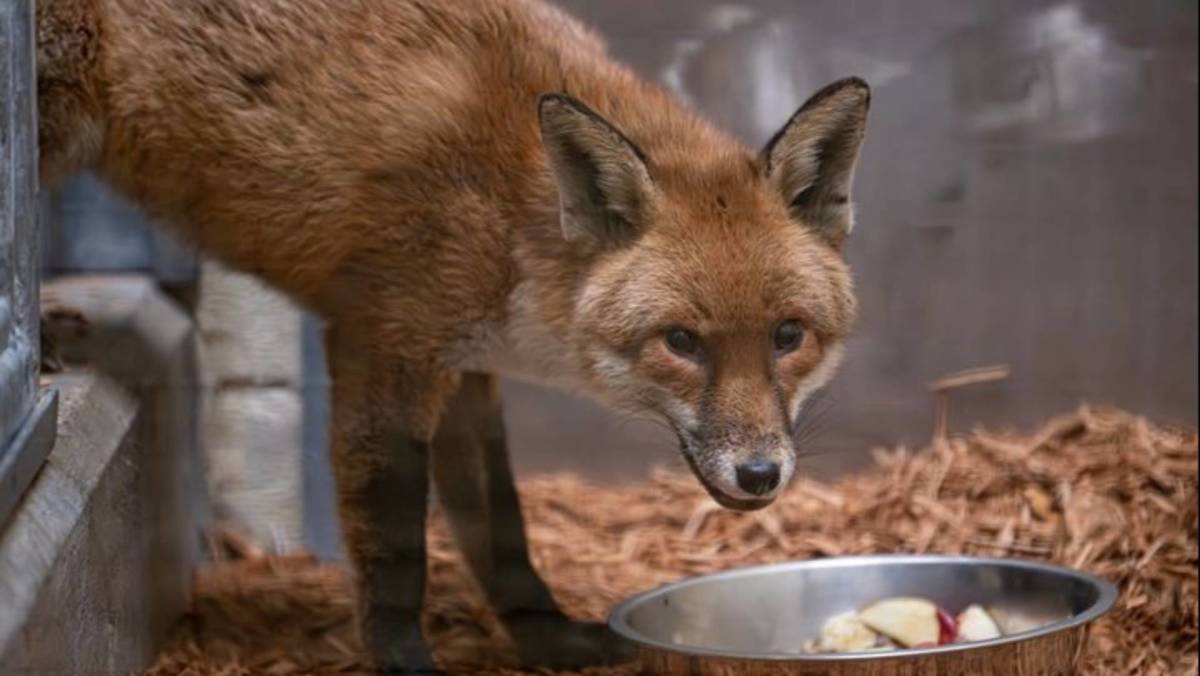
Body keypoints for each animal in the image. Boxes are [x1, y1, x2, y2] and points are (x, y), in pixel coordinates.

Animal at [36, 0, 869, 672]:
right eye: (682, 342)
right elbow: (397, 546)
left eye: (788, 335)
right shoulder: (383, 346)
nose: (760, 475)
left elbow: (502, 532)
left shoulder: (467, 369)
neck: (511, 210)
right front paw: (405, 660)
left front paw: (548, 639)